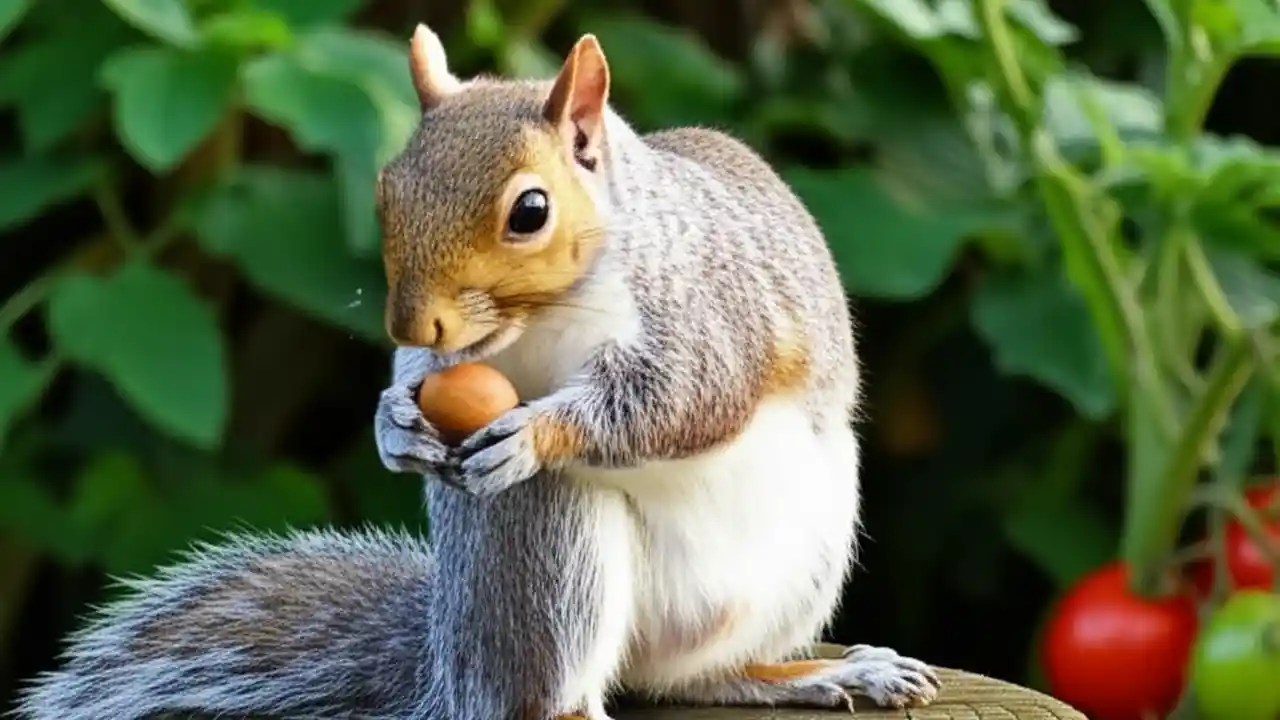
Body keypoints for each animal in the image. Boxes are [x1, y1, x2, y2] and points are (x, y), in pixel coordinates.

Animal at [14, 25, 941, 720]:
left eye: (530, 211)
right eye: (384, 192)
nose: (406, 320)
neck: (547, 317)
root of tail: (449, 663)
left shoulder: (708, 310)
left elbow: (684, 397)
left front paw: (534, 431)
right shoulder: (452, 357)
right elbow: (421, 378)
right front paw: (392, 419)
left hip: (798, 566)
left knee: (690, 677)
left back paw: (827, 672)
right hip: (543, 552)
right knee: (570, 684)